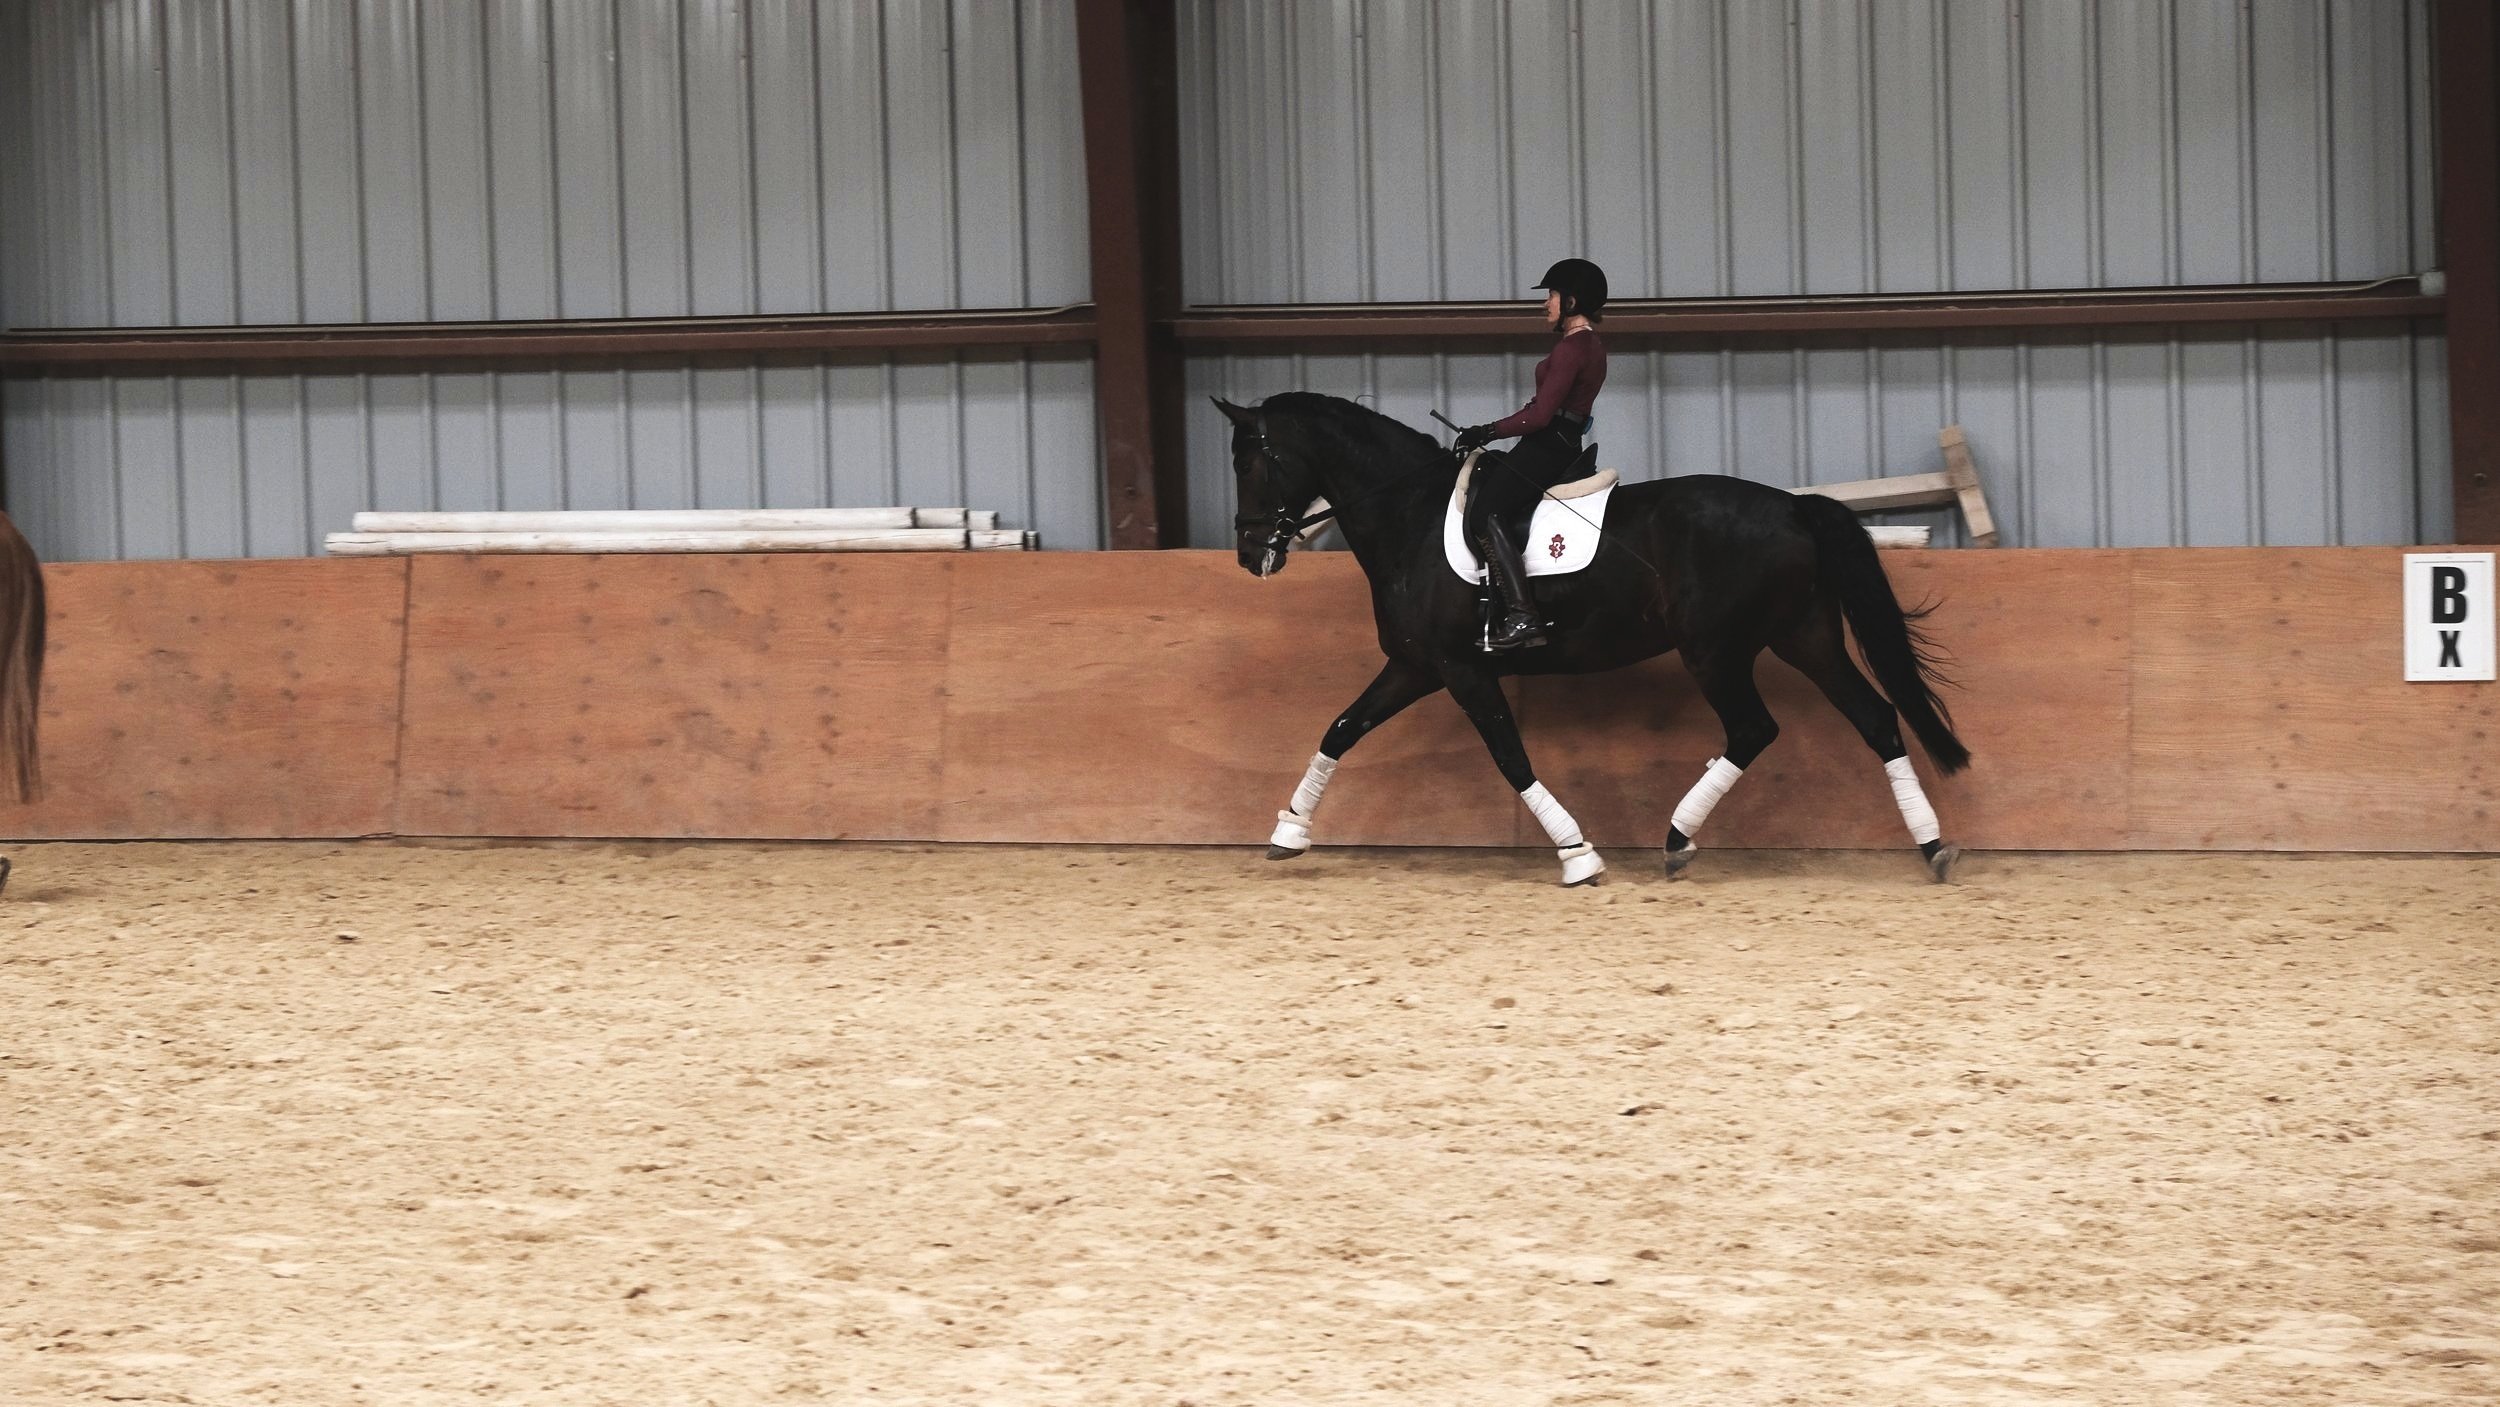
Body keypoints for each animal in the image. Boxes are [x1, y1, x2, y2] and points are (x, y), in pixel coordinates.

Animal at [1216, 392, 1970, 886]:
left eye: (1248, 464)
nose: (1251, 556)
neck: (1413, 515)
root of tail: (1793, 506)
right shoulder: (1416, 666)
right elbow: (1340, 729)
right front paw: (1288, 831)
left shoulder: (1462, 669)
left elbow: (1510, 756)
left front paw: (1578, 854)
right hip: (1804, 637)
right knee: (1877, 718)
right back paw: (1933, 845)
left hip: (1715, 649)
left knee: (1754, 728)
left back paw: (1676, 839)